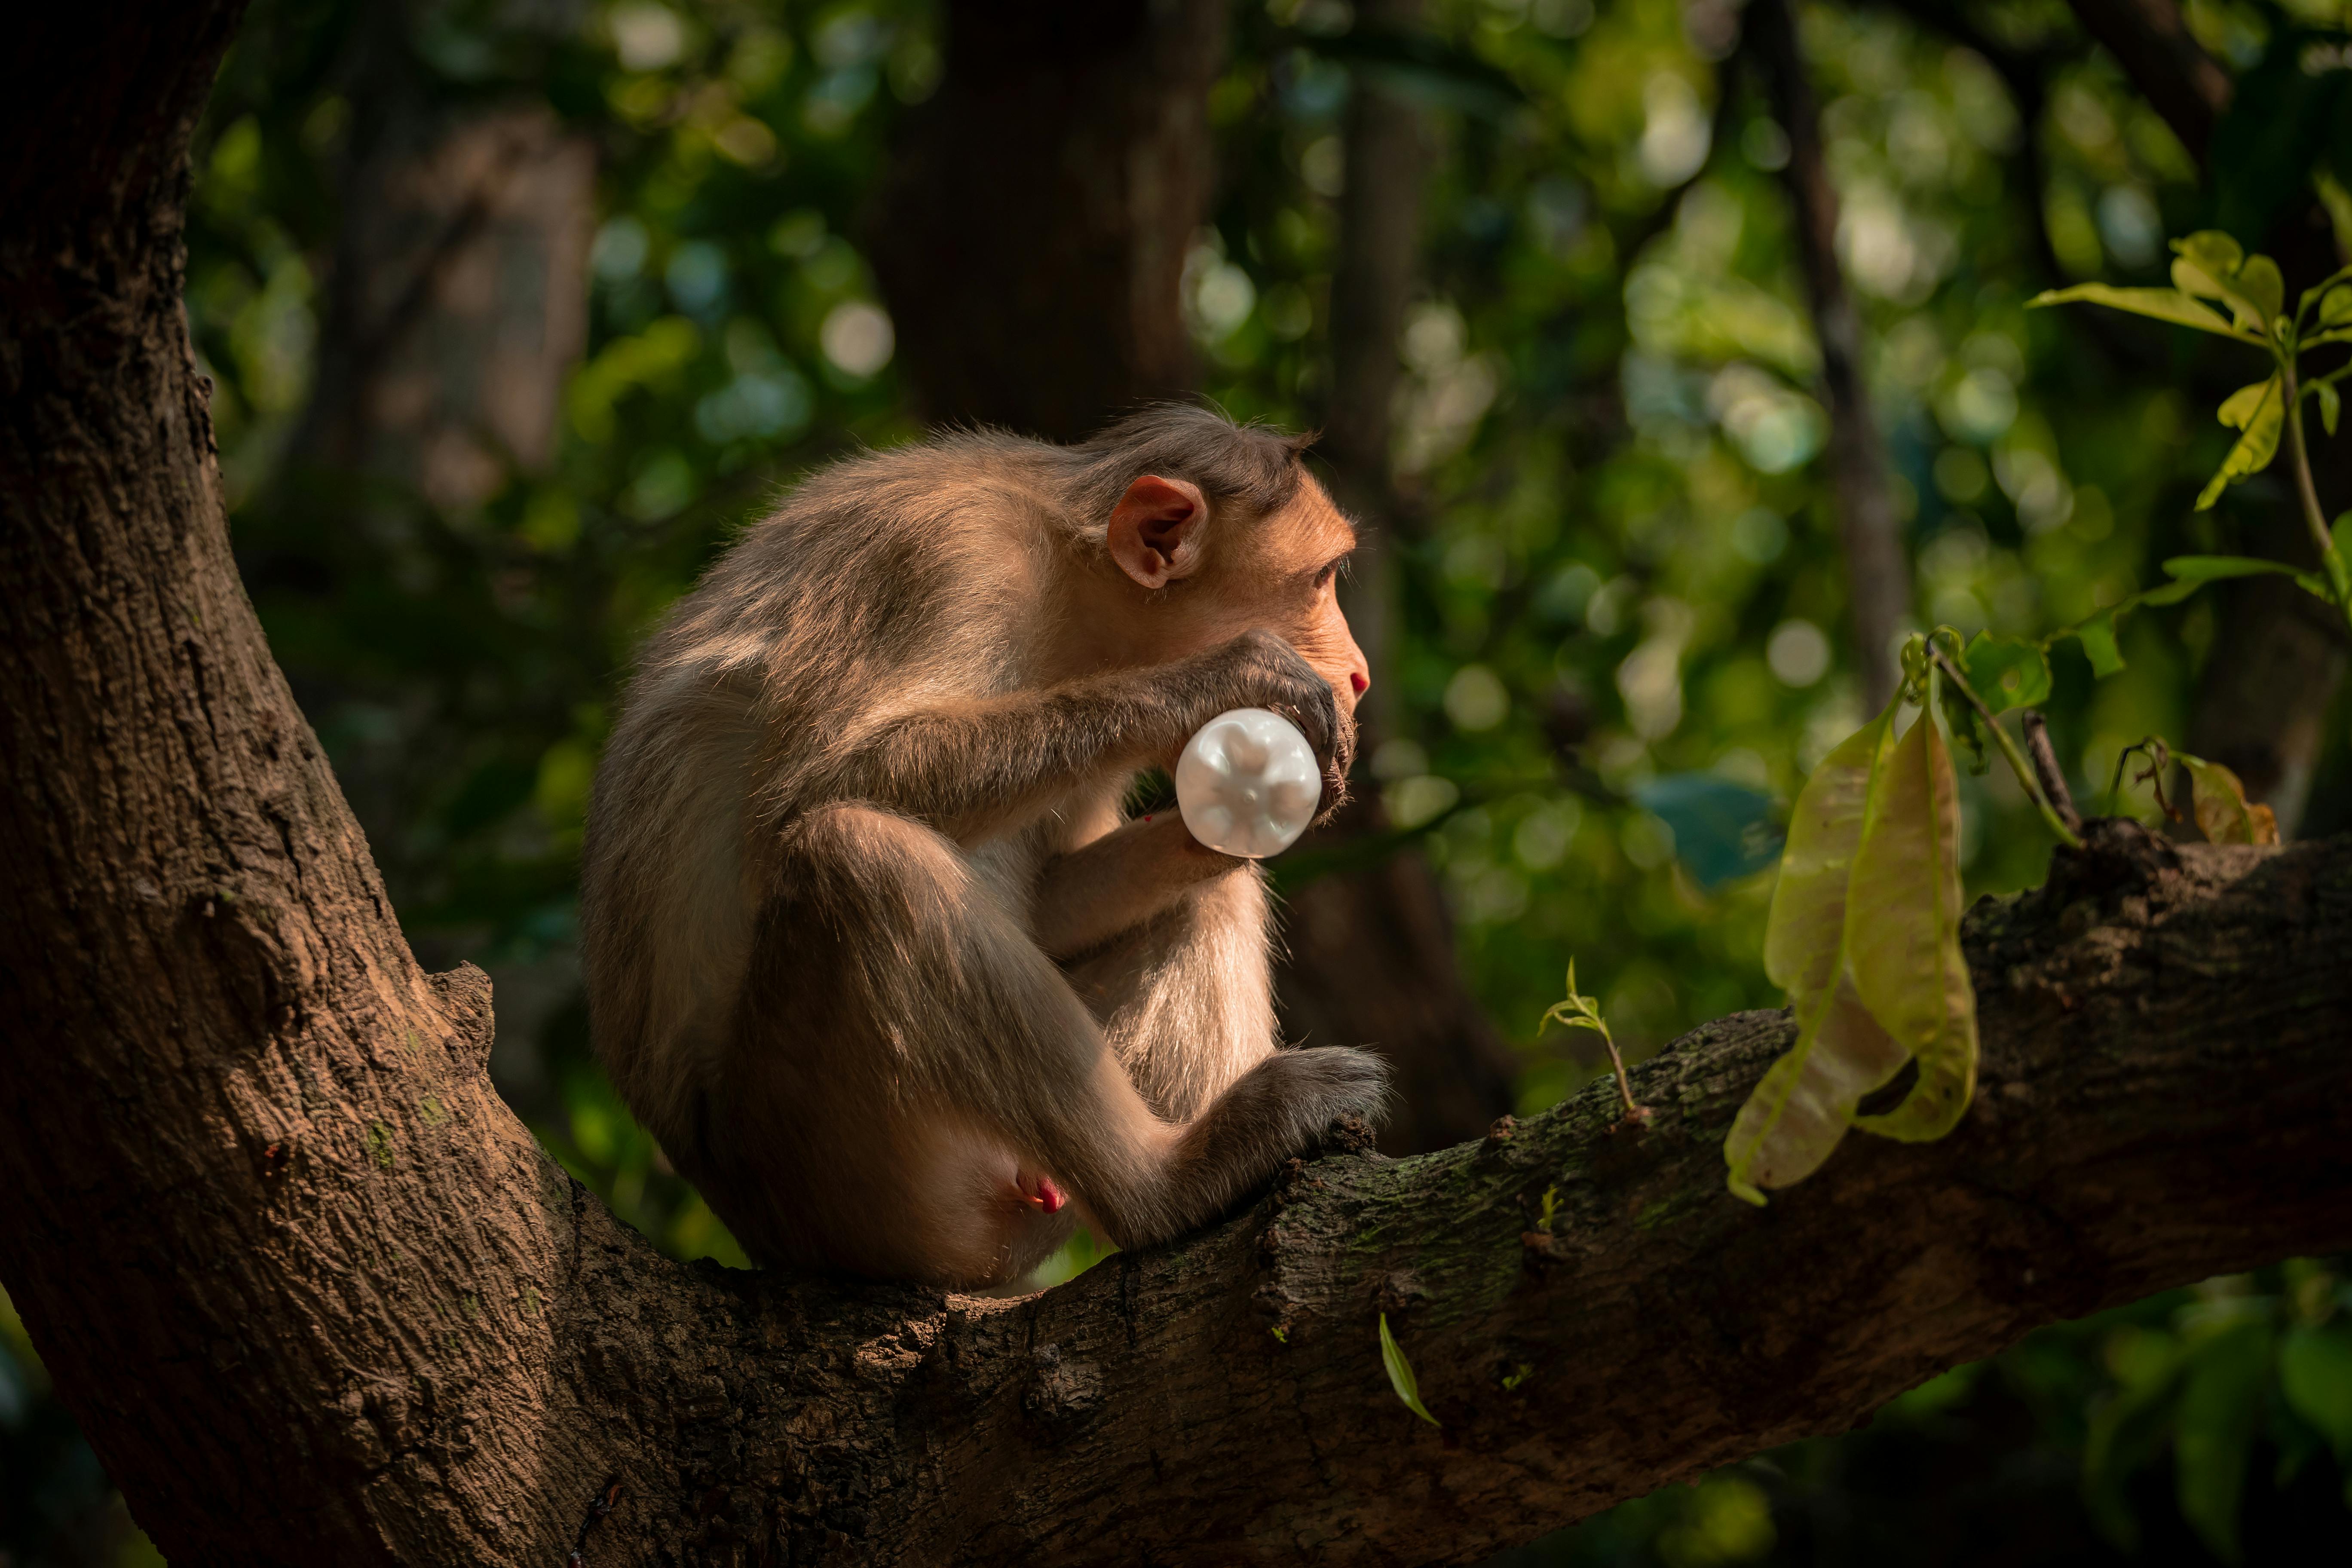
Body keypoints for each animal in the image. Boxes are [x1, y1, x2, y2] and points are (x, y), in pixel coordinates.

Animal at [579, 405, 1388, 1288]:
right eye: (1322, 579)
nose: (1359, 675)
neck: (1069, 576)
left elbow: (1050, 904)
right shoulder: (950, 555)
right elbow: (808, 791)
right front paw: (1224, 682)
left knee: (1203, 892)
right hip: (836, 1172)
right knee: (860, 852)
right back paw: (1169, 1189)